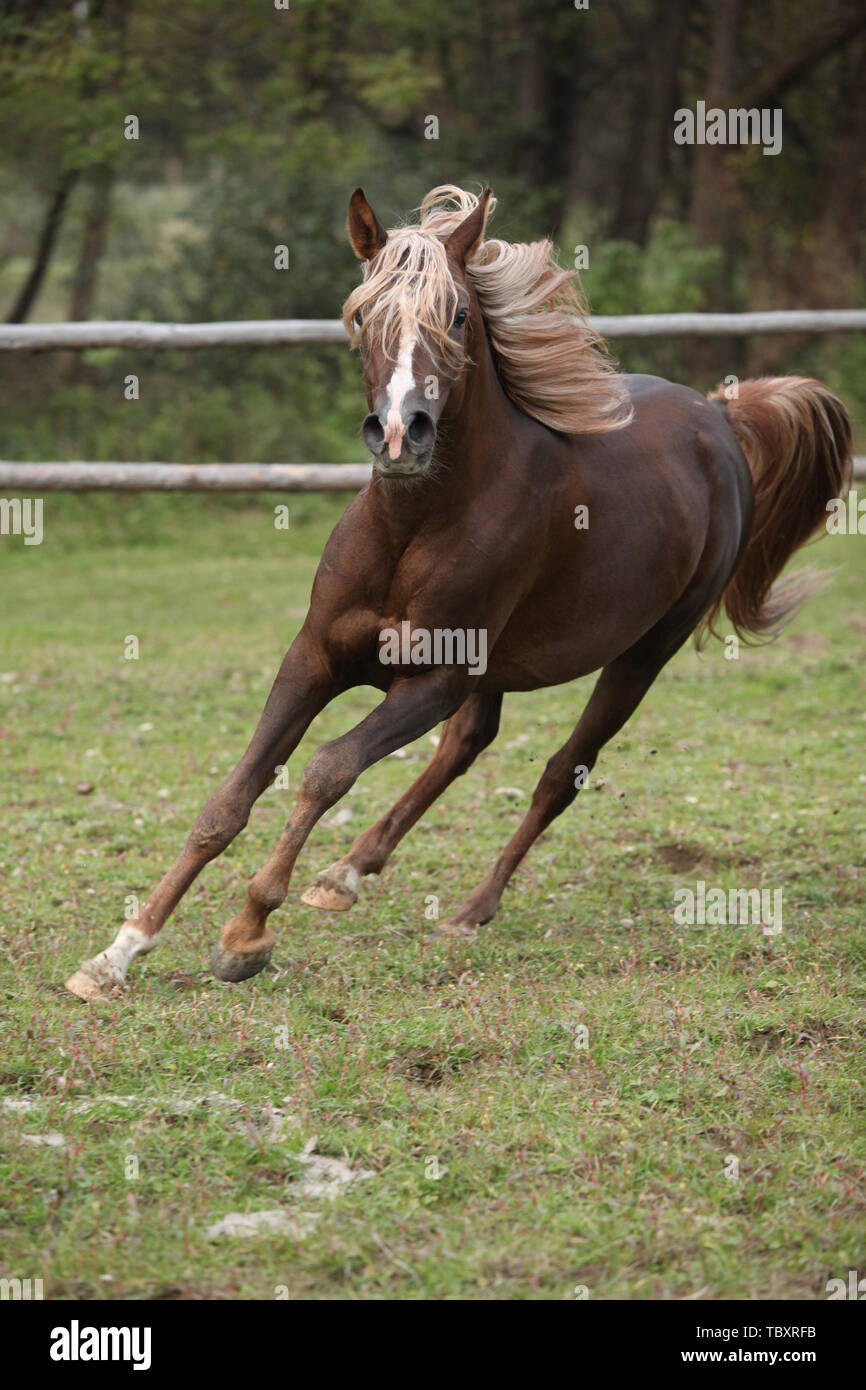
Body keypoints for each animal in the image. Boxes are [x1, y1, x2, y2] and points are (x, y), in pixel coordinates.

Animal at [65, 184, 852, 1000]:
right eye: (363, 315)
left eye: (461, 315)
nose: (399, 434)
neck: (412, 528)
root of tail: (720, 417)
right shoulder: (314, 658)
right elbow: (231, 798)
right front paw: (119, 951)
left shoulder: (434, 680)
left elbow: (325, 771)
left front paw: (245, 936)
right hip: (496, 667)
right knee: (467, 745)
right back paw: (346, 874)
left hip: (640, 657)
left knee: (559, 775)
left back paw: (471, 909)